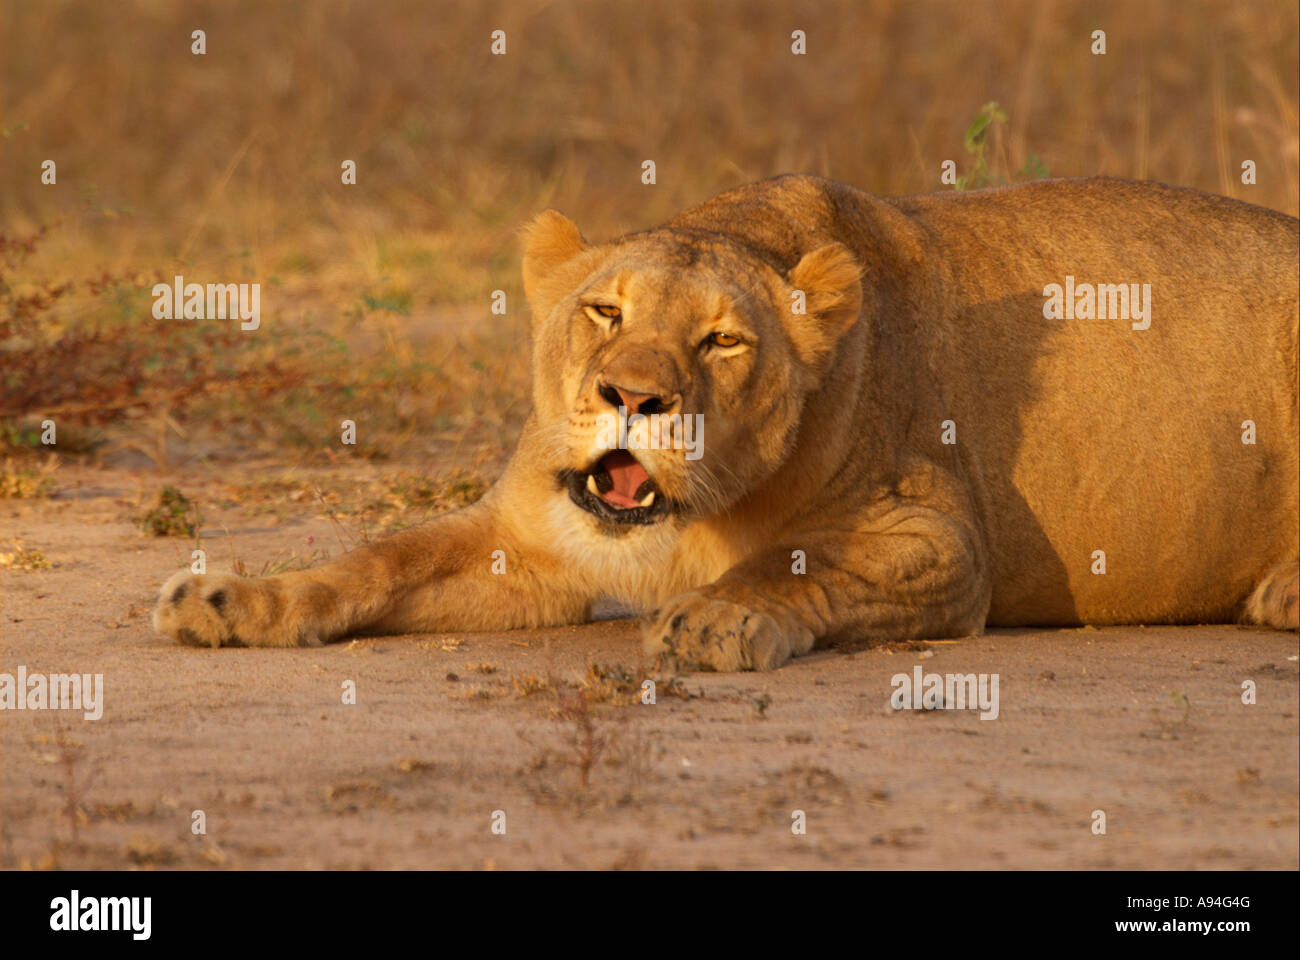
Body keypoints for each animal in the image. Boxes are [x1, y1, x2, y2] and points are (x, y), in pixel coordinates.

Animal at [154, 175, 1300, 670]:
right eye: (604, 312)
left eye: (721, 342)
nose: (631, 397)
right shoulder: (527, 543)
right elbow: (378, 560)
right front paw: (230, 599)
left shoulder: (939, 541)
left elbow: (794, 563)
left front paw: (714, 619)